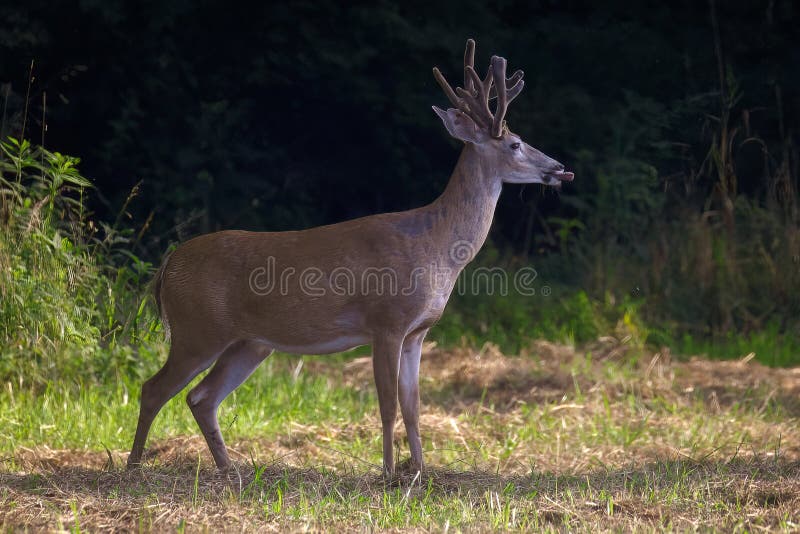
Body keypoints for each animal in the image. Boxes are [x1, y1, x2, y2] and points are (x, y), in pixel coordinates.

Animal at [127, 39, 574, 477]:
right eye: (515, 144)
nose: (560, 168)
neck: (438, 249)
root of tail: (167, 266)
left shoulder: (418, 332)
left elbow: (413, 407)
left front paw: (420, 471)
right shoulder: (387, 321)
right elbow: (388, 405)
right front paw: (389, 474)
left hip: (249, 343)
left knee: (201, 397)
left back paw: (228, 468)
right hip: (197, 330)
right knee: (153, 389)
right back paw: (134, 466)